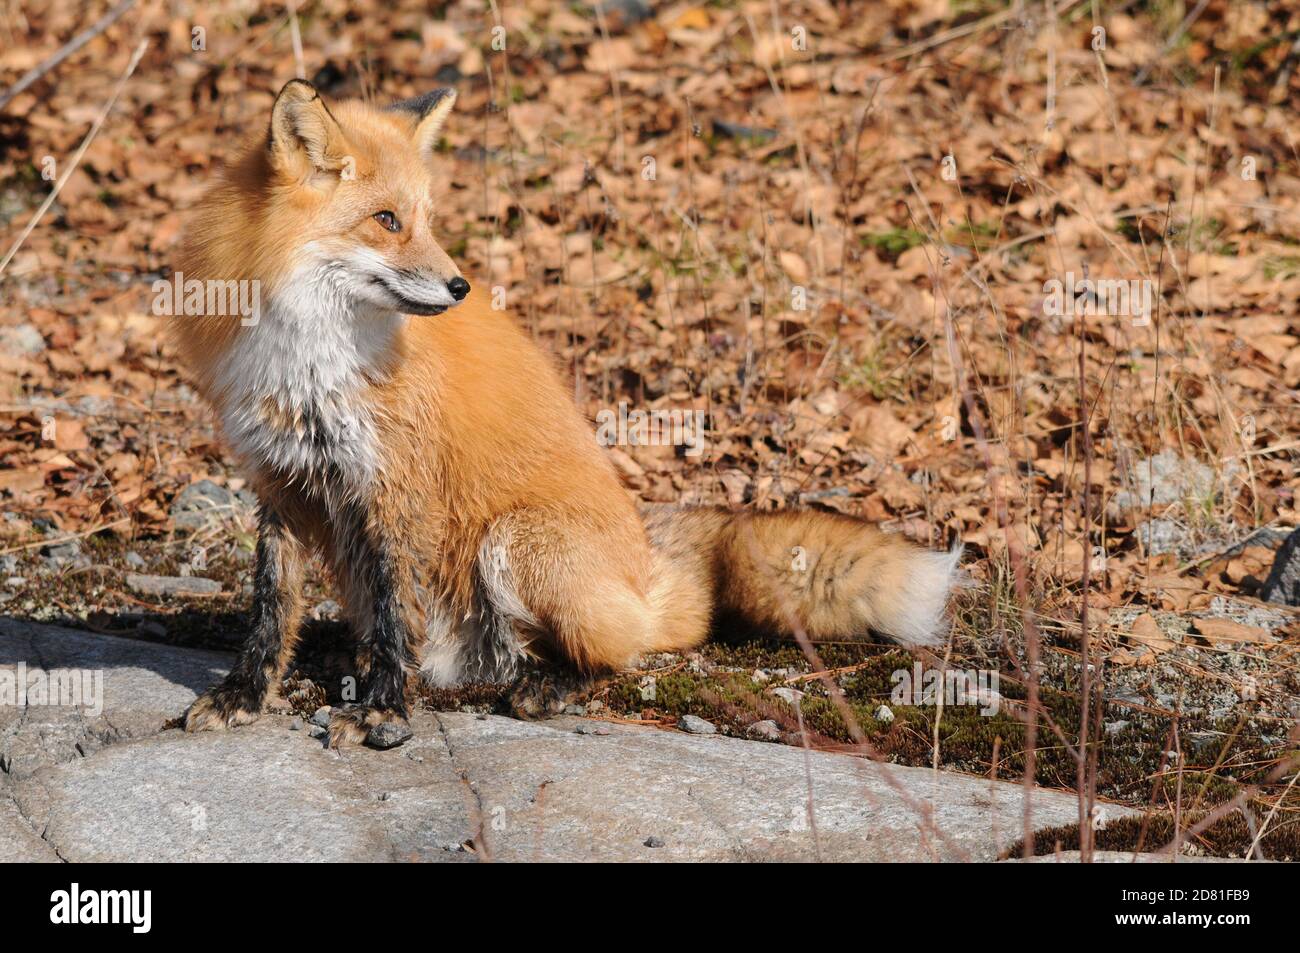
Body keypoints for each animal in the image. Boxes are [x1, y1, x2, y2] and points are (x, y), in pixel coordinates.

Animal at [172, 79, 962, 749]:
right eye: (386, 220)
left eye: (426, 220)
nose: (460, 286)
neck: (310, 360)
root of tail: (647, 570)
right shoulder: (281, 480)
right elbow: (271, 609)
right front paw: (245, 696)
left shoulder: (398, 486)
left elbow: (400, 617)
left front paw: (385, 713)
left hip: (515, 542)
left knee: (618, 652)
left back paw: (547, 687)